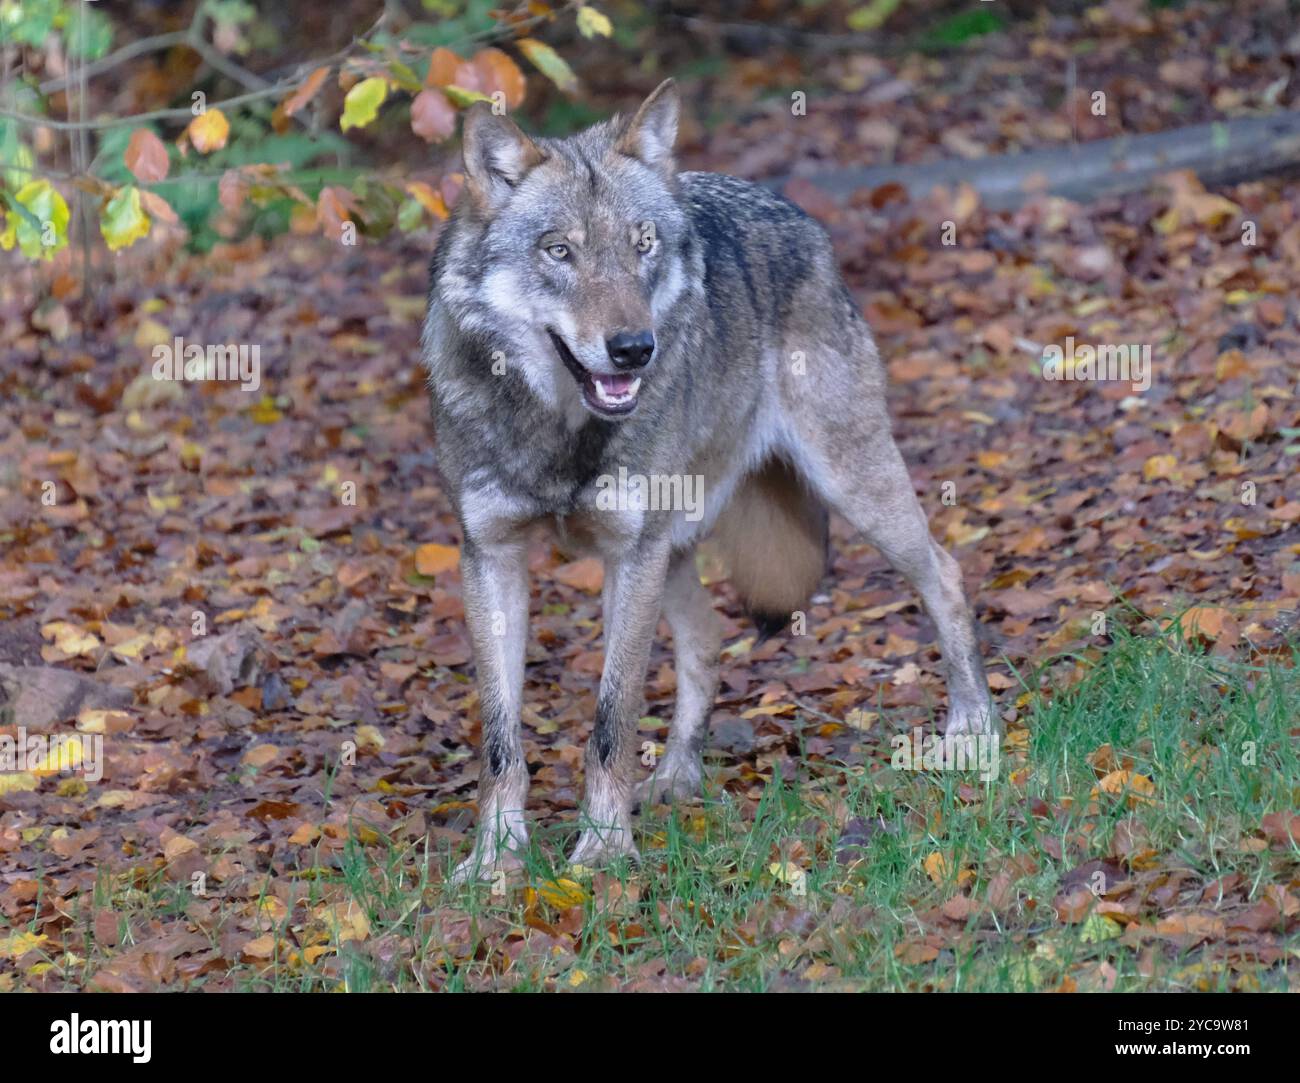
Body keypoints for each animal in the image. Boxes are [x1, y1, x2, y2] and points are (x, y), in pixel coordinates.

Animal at [421, 80, 996, 883]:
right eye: (559, 251)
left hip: (849, 485)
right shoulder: (492, 558)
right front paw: (496, 862)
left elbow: (611, 720)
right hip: (676, 548)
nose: (633, 348)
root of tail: (790, 208)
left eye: (643, 245)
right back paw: (676, 778)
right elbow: (500, 739)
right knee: (710, 636)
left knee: (945, 572)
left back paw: (972, 729)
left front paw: (603, 849)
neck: (560, 434)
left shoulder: (629, 556)